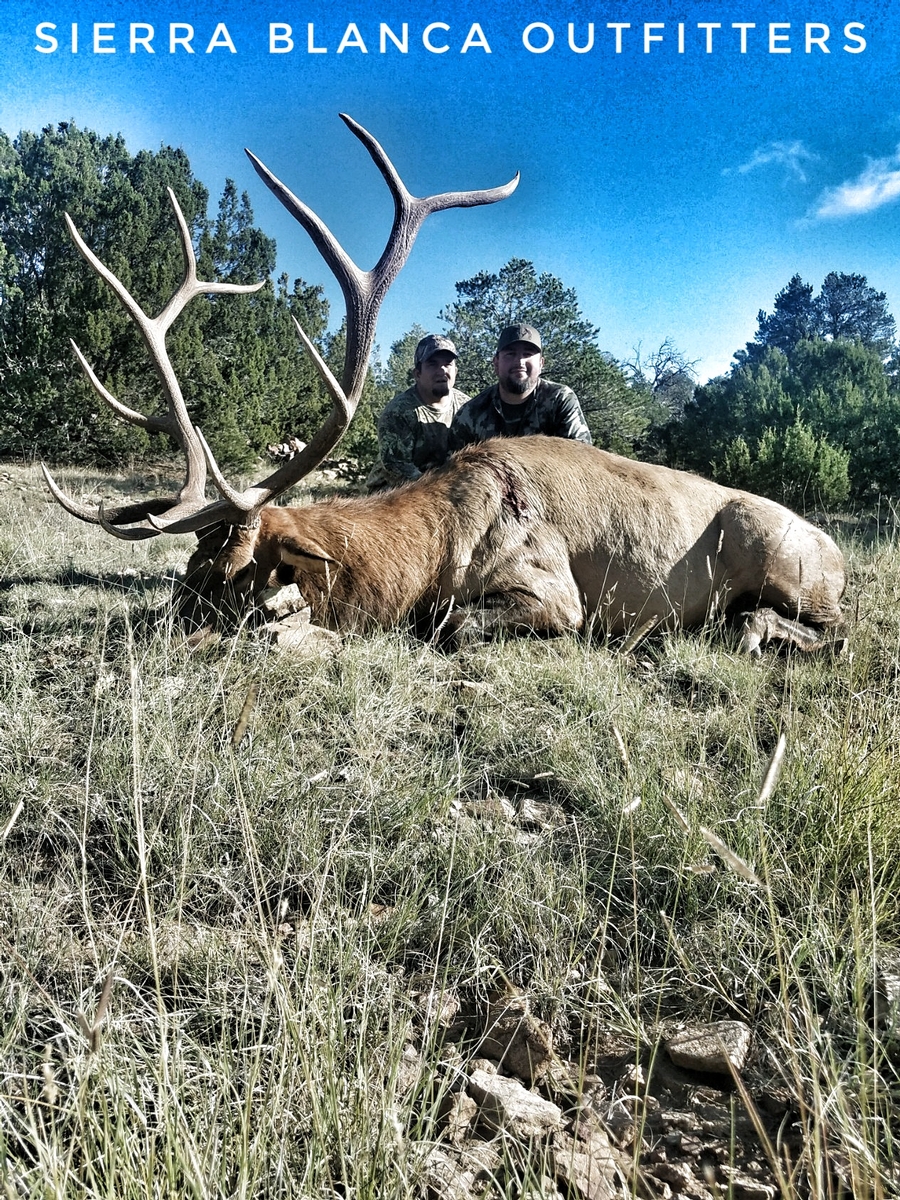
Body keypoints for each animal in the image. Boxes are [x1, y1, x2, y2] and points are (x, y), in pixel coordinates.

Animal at [43, 115, 846, 655]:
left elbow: (453, 623)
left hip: (786, 557)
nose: (156, 625)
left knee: (831, 629)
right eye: (185, 566)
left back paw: (751, 627)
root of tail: (840, 553)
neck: (436, 549)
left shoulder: (556, 592)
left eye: (228, 575)